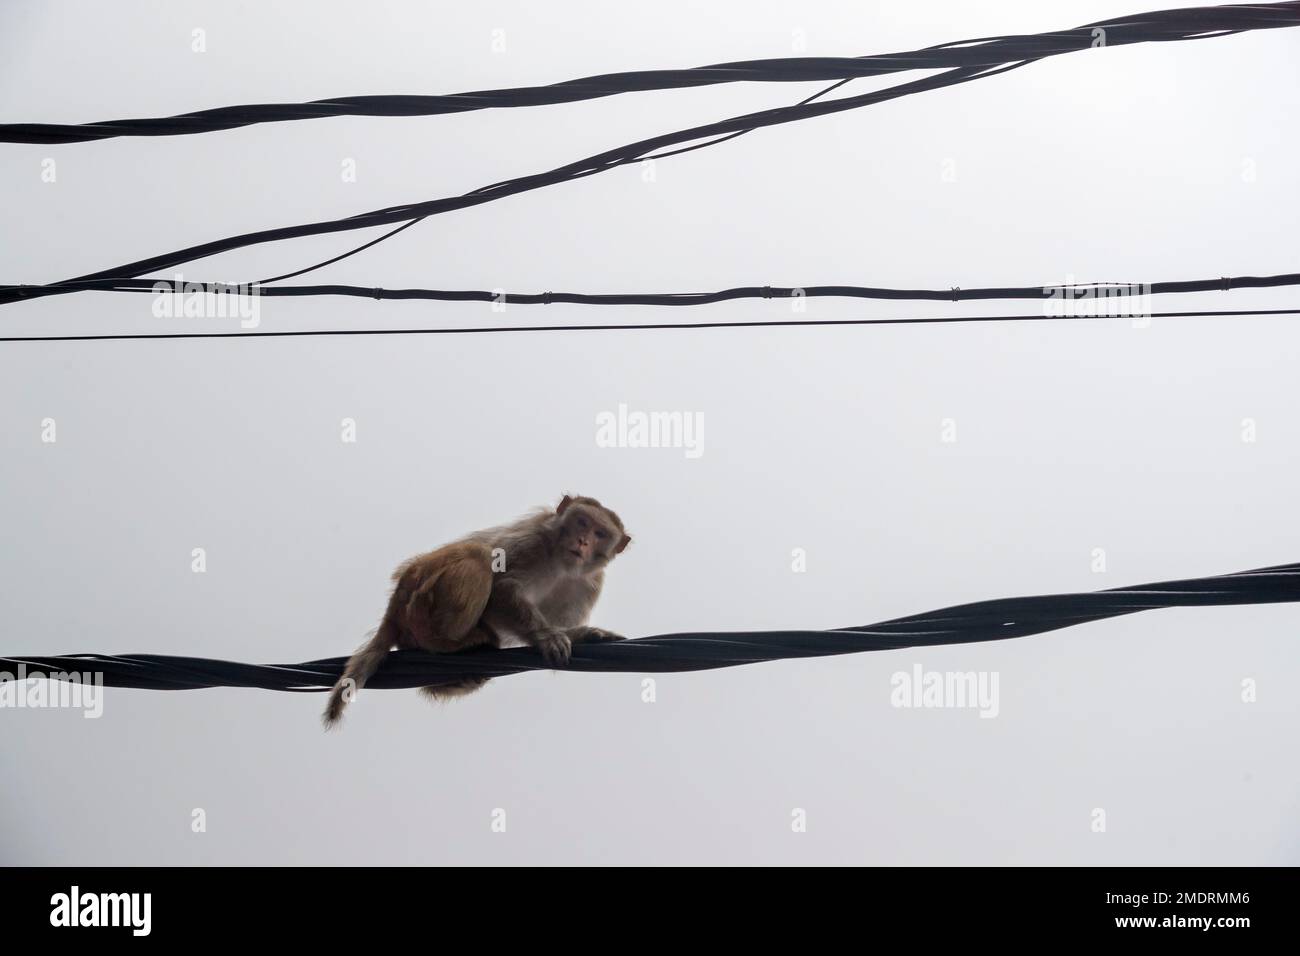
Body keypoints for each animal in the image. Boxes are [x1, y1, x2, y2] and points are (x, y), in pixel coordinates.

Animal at [322, 494, 630, 727]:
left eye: (599, 533)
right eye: (582, 522)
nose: (583, 541)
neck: (562, 565)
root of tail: (397, 602)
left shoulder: (590, 584)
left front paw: (584, 635)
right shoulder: (531, 540)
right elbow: (501, 588)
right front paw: (546, 636)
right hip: (422, 600)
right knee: (479, 555)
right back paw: (453, 642)